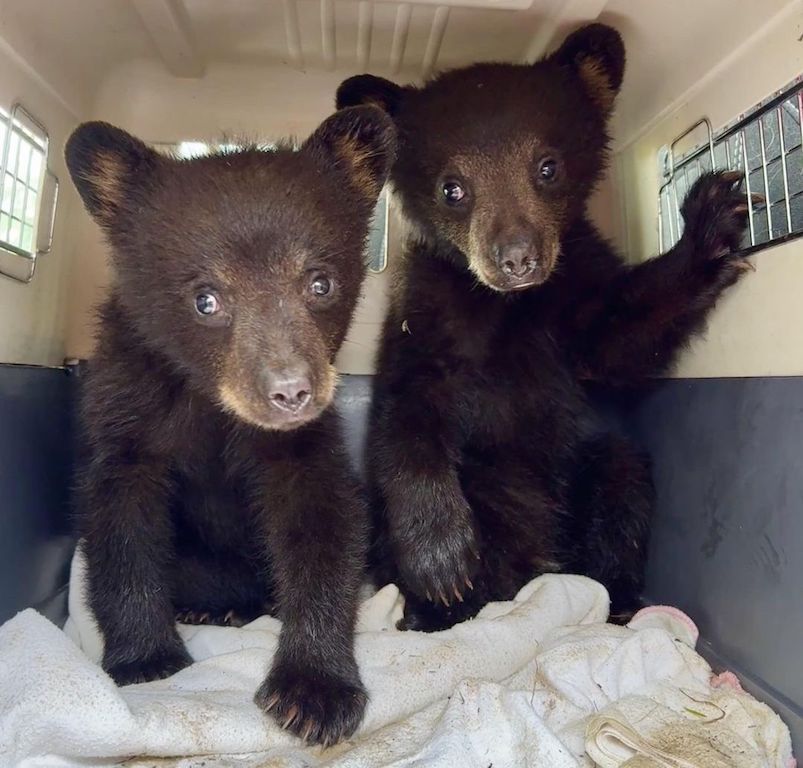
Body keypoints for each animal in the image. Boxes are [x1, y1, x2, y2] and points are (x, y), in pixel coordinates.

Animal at [65, 105, 396, 745]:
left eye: (320, 282)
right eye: (205, 299)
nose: (290, 392)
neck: (213, 405)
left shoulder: (303, 447)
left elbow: (324, 521)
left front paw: (313, 692)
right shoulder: (127, 409)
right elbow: (122, 520)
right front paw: (146, 659)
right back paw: (205, 607)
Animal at [336, 23, 756, 631]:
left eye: (547, 166)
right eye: (452, 187)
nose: (517, 258)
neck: (512, 308)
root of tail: (537, 563)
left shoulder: (577, 293)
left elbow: (618, 338)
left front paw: (714, 219)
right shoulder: (426, 313)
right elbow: (407, 410)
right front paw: (440, 558)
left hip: (587, 468)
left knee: (623, 482)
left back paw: (618, 602)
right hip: (486, 486)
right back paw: (437, 612)